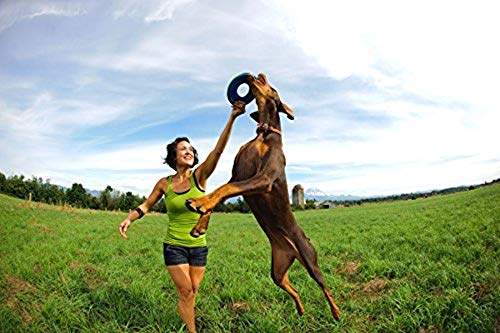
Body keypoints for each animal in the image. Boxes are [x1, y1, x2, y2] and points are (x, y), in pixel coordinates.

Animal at [187, 73, 340, 320]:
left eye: (272, 86)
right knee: (291, 287)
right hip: (277, 268)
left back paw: (336, 312)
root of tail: (292, 251)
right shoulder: (238, 175)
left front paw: (200, 202)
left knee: (324, 285)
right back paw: (300, 308)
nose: (257, 74)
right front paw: (201, 222)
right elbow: (222, 190)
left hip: (310, 259)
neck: (264, 134)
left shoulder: (264, 179)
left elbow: (225, 189)